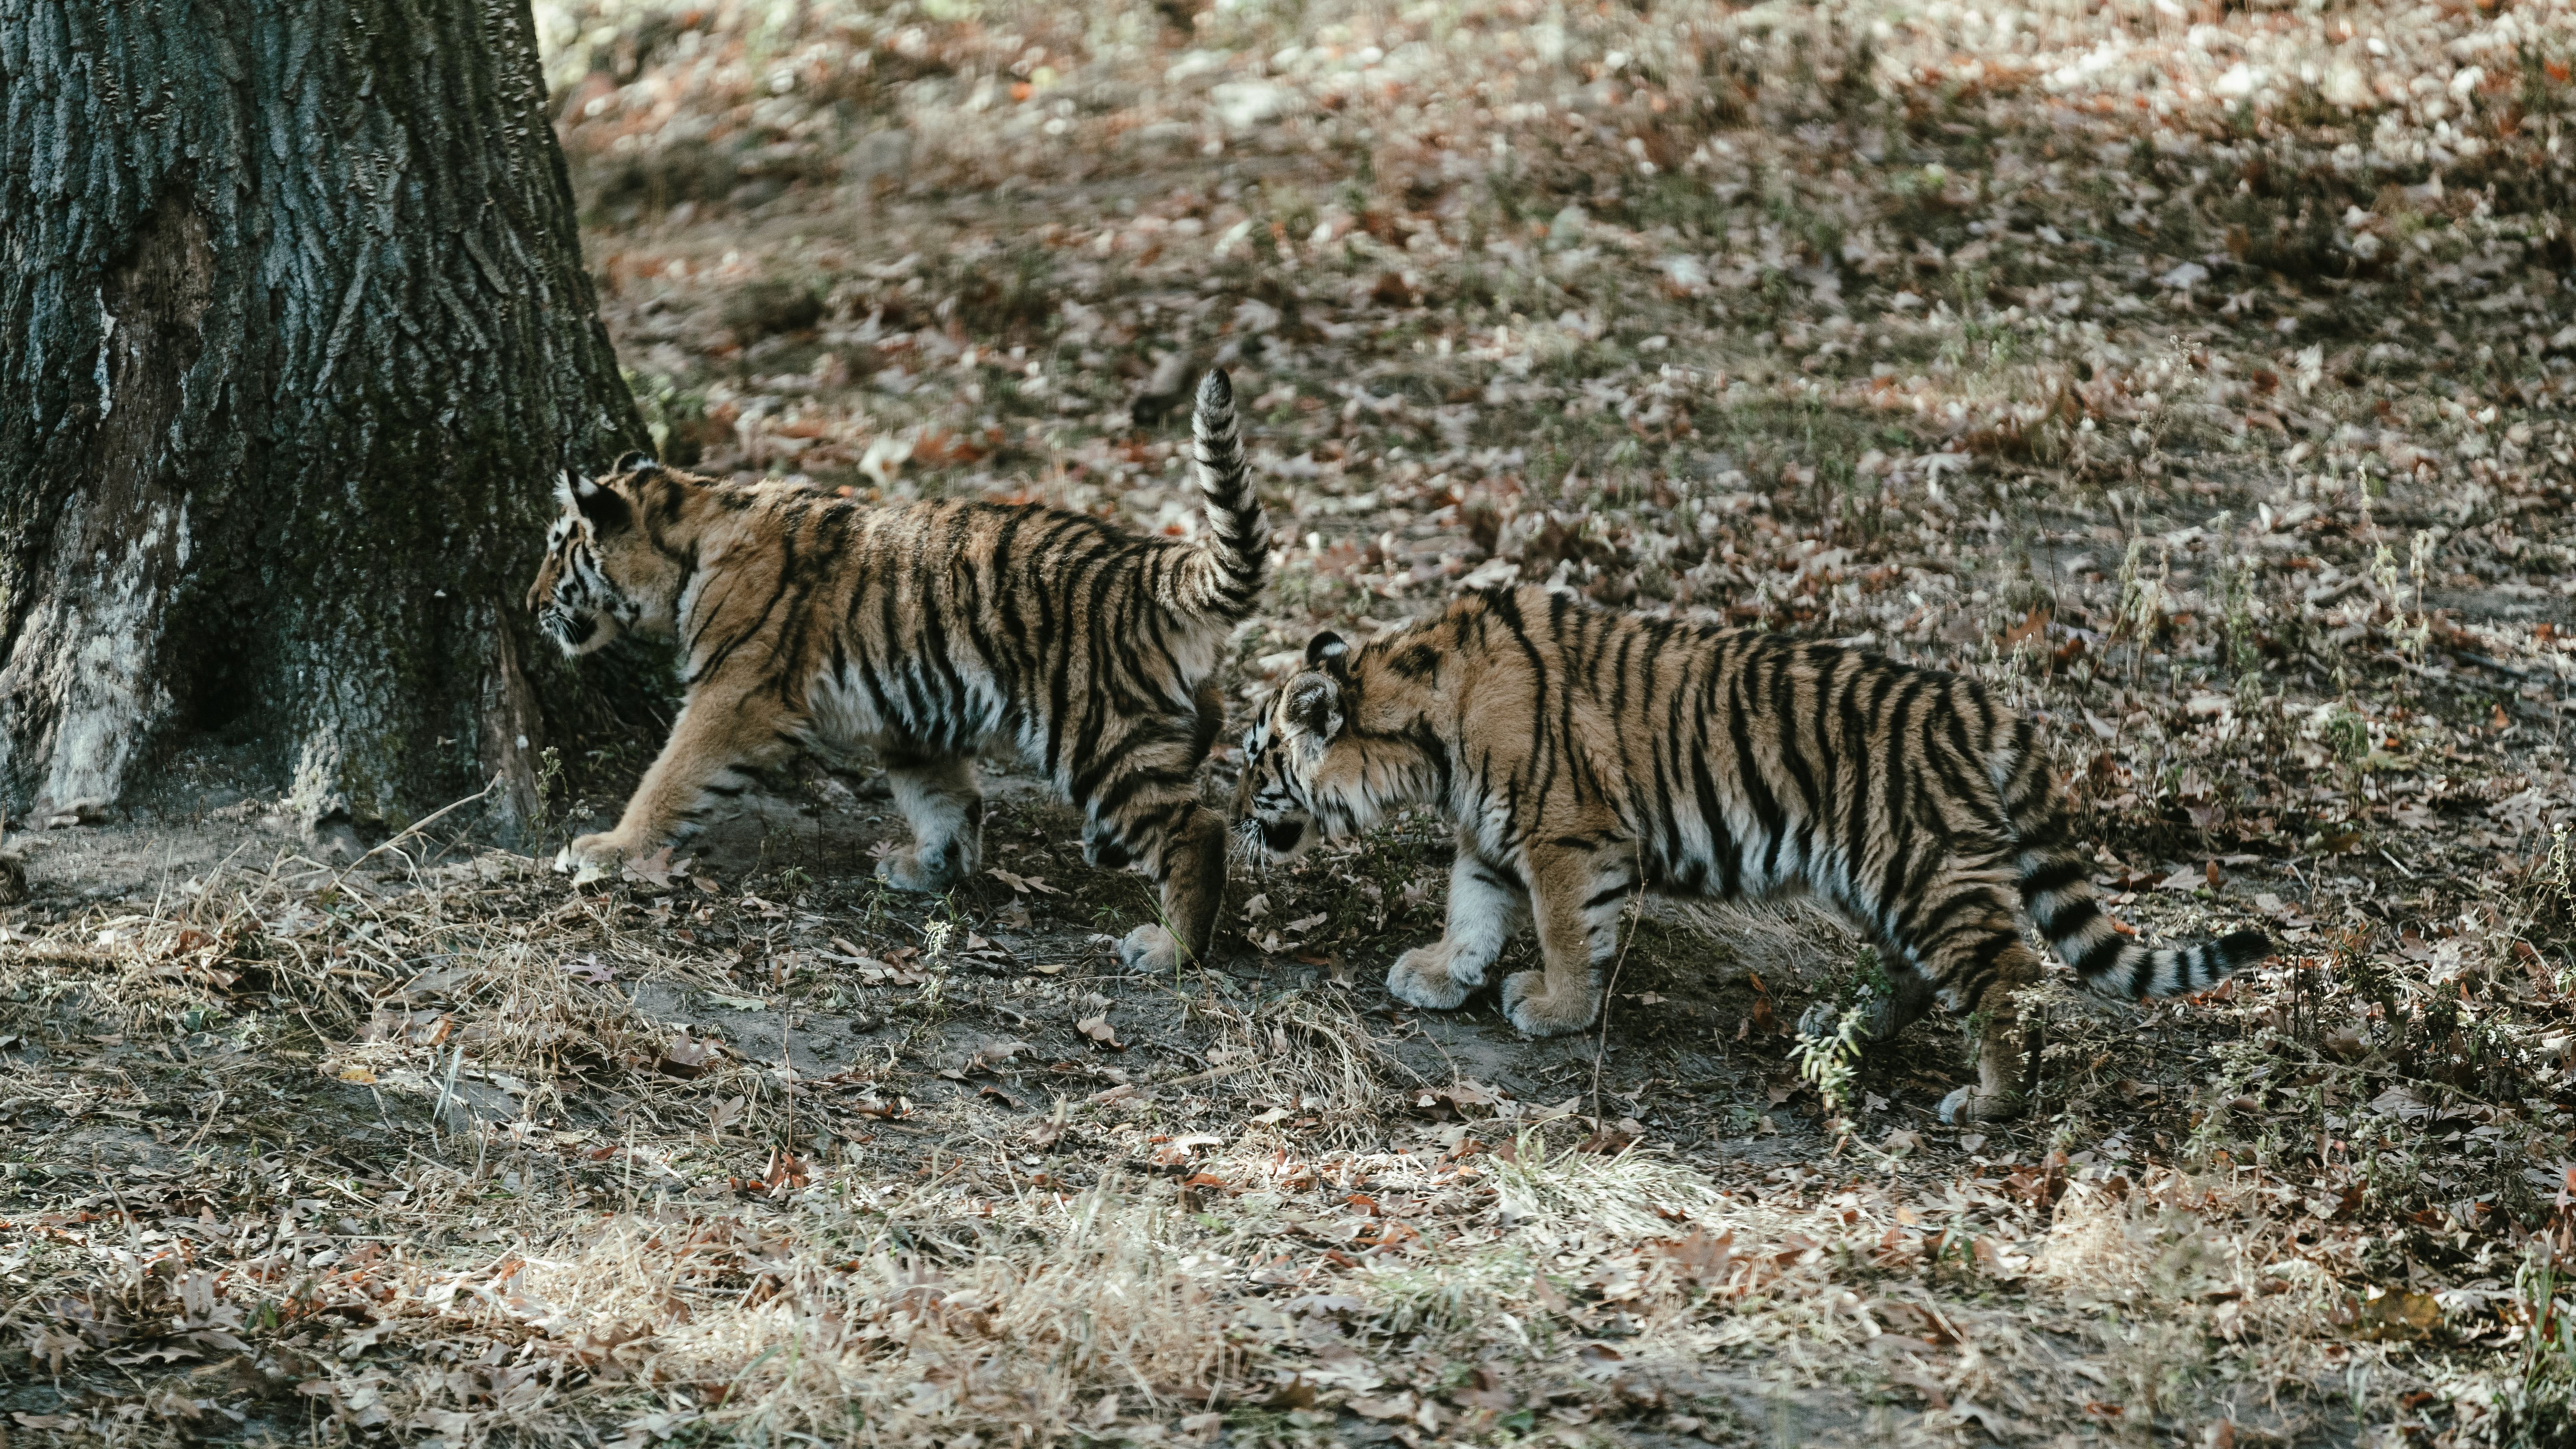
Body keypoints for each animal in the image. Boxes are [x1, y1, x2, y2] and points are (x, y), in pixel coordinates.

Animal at [527, 369, 1267, 971]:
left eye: (559, 547)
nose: (530, 604)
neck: (696, 534)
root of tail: (1149, 562)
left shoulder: (733, 695)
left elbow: (668, 777)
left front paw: (606, 849)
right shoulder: (915, 720)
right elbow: (945, 801)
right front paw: (931, 868)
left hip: (1094, 734)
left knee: (1198, 829)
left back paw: (1171, 949)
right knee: (1208, 726)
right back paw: (1111, 850)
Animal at [1229, 586, 2271, 1124]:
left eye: (1252, 760)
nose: (1232, 815)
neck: (1418, 731)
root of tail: (1982, 707)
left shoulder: (1569, 833)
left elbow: (1566, 933)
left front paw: (1555, 1009)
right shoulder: (1494, 832)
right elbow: (1472, 907)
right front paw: (1445, 974)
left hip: (1926, 871)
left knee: (2007, 977)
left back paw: (1990, 1099)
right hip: (1882, 875)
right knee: (1920, 971)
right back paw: (1841, 1027)